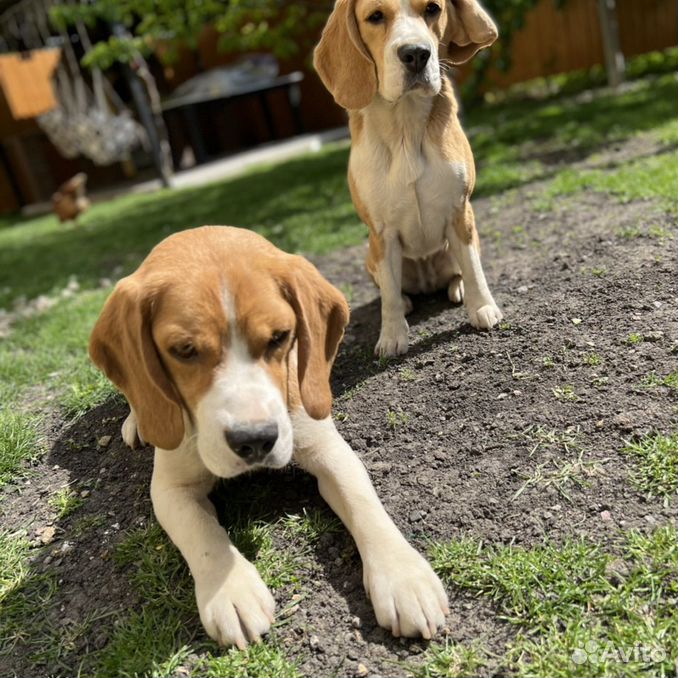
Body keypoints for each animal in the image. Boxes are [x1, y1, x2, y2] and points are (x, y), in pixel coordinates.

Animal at [90, 227, 452, 648]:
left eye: (280, 337)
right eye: (184, 350)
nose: (255, 441)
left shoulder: (329, 450)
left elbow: (363, 503)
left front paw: (403, 577)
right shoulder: (169, 488)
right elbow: (200, 532)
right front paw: (230, 590)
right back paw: (137, 422)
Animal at [316, 0, 502, 358]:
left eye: (432, 8)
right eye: (375, 16)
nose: (416, 53)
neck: (405, 124)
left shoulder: (460, 212)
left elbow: (473, 269)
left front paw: (483, 307)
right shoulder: (382, 232)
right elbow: (388, 293)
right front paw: (391, 336)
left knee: (459, 269)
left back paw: (456, 288)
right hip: (370, 256)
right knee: (392, 289)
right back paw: (405, 301)